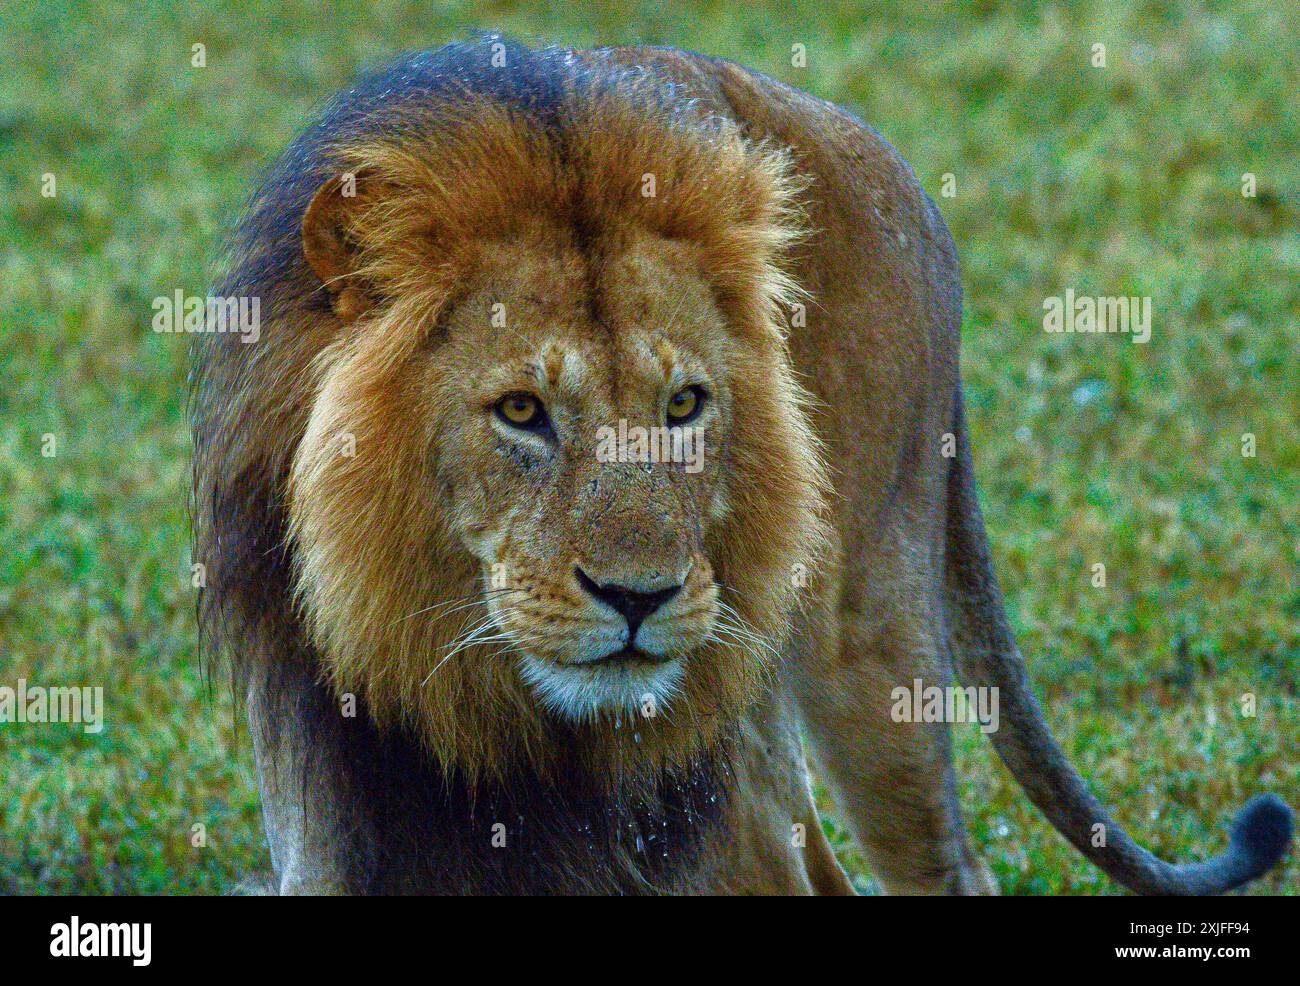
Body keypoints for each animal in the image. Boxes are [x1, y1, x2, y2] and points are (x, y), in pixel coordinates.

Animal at [192, 37, 1292, 894]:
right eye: (521, 412)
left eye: (684, 406)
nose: (639, 597)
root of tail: (890, 164)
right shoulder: (330, 798)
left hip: (859, 637)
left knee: (942, 867)